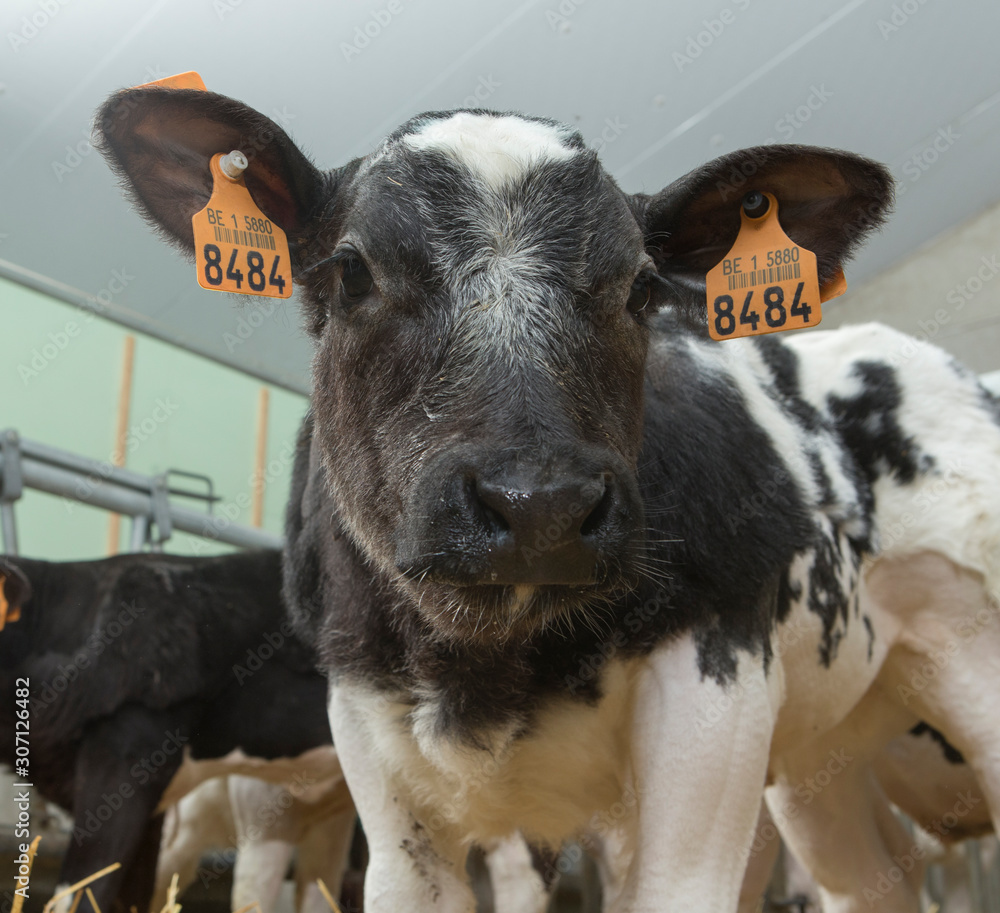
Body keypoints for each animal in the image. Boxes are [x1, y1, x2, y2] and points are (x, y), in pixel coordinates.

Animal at [95, 84, 1000, 913]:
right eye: (352, 270)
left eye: (641, 289)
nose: (540, 504)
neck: (486, 669)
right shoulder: (372, 756)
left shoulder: (715, 680)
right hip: (822, 758)